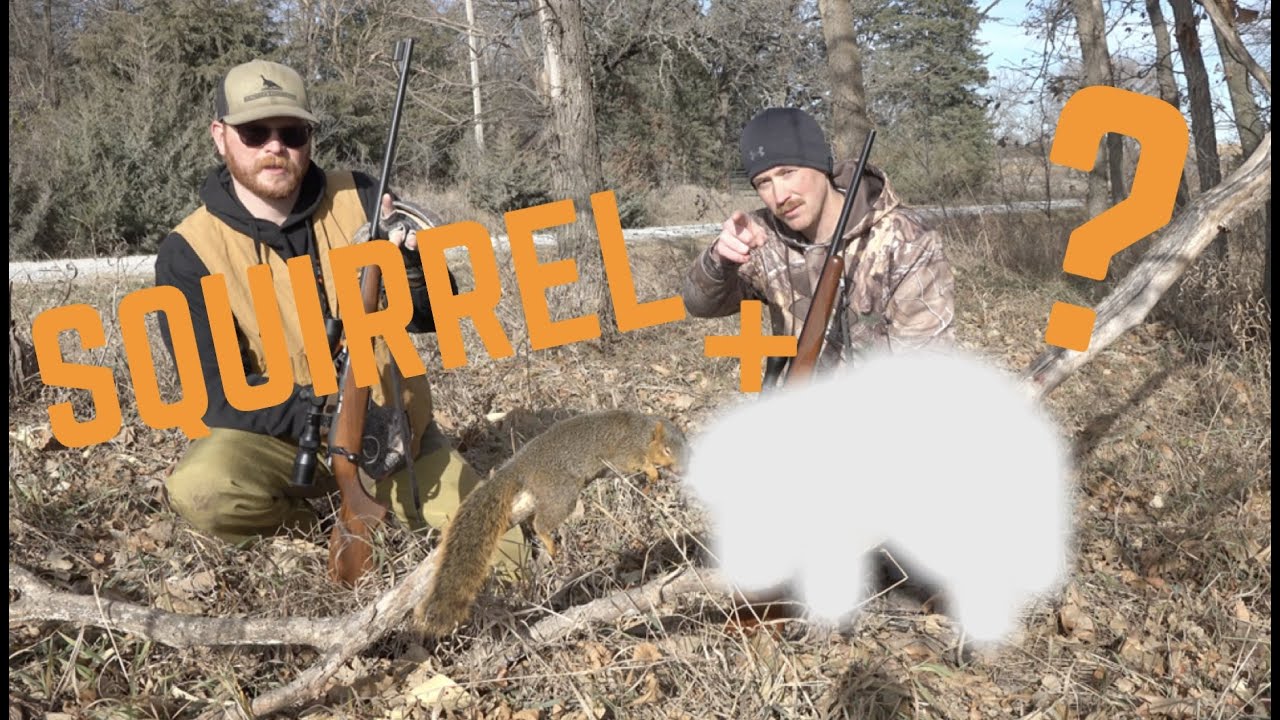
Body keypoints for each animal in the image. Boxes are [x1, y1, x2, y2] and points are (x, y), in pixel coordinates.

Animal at [411, 409, 688, 638]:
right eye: (666, 450)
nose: (682, 470)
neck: (643, 431)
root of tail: (520, 466)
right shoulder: (625, 449)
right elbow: (634, 462)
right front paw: (652, 471)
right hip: (561, 492)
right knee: (540, 523)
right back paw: (548, 541)